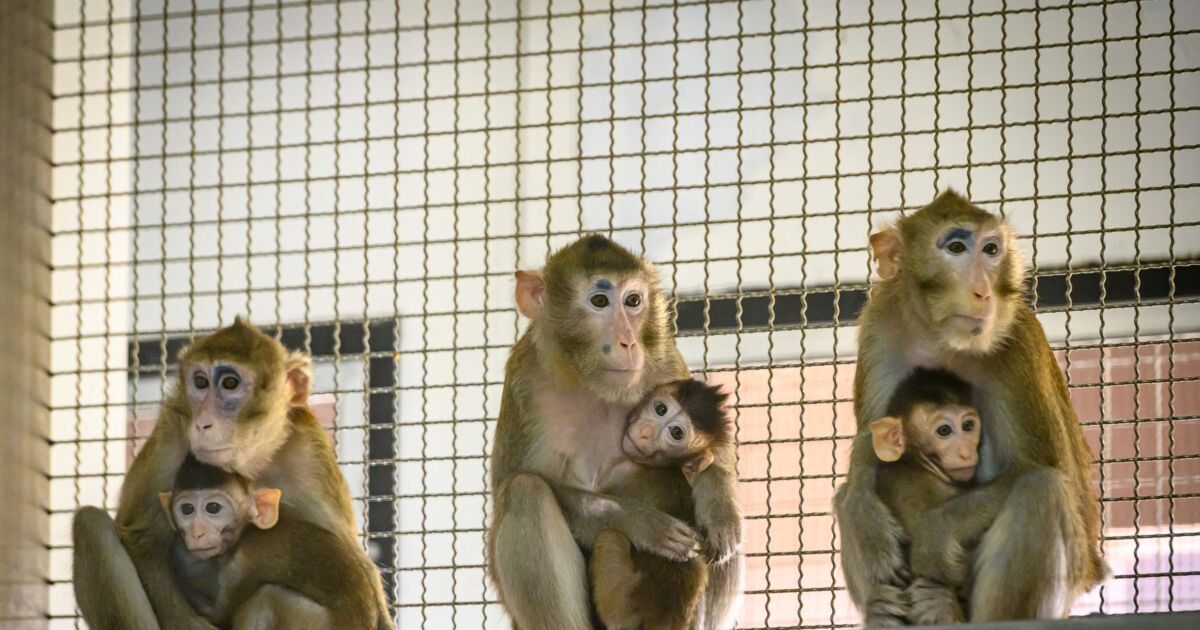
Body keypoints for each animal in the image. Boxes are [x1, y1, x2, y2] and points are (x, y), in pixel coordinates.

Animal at [161, 453, 385, 629]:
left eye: (213, 508)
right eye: (187, 509)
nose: (196, 532)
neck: (248, 530)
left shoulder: (244, 561)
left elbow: (219, 615)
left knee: (268, 598)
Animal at [590, 378, 741, 630]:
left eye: (676, 433)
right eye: (660, 409)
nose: (645, 432)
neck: (666, 467)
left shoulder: (620, 471)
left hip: (619, 605)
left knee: (609, 537)